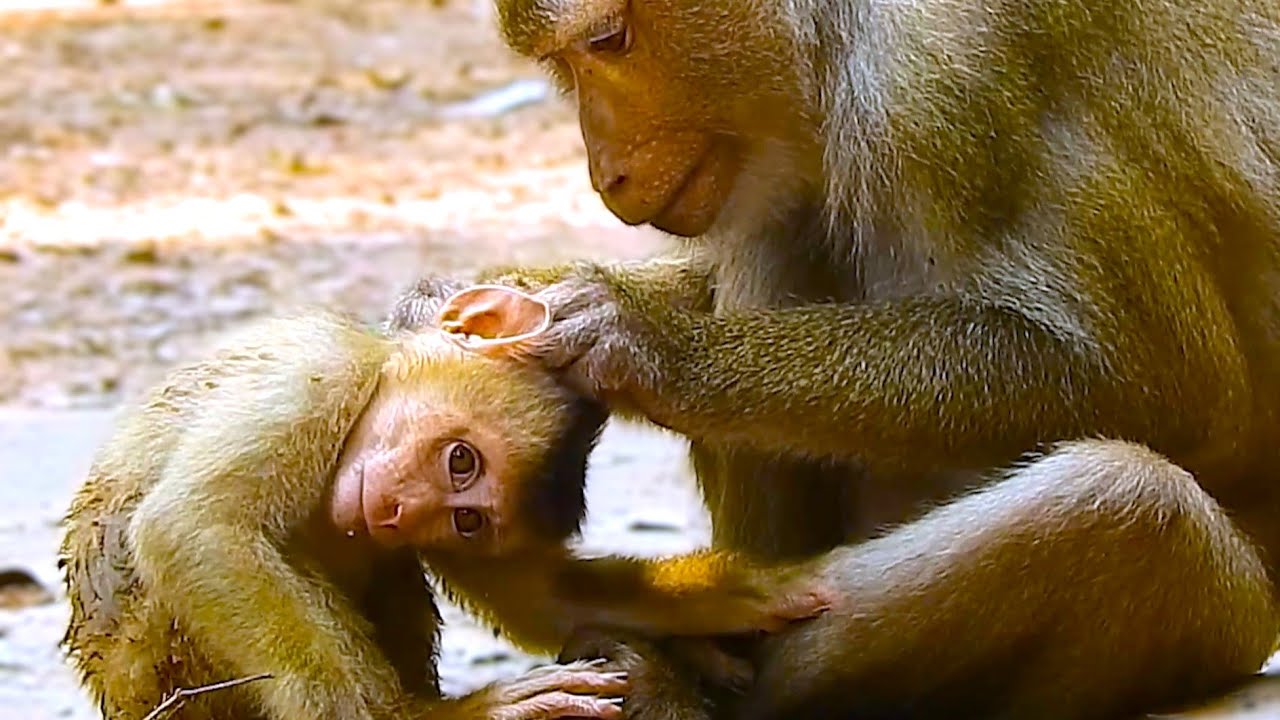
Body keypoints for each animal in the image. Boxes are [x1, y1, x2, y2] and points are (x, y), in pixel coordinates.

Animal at [58, 280, 830, 720]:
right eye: (462, 460)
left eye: (465, 517)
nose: (400, 510)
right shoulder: (319, 375)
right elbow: (197, 529)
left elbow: (545, 605)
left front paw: (732, 594)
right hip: (158, 670)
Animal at [383, 0, 1280, 718]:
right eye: (566, 60)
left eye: (609, 39)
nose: (608, 174)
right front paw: (444, 303)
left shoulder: (951, 75)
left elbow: (1166, 380)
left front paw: (640, 342)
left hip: (1220, 621)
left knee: (1127, 506)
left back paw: (694, 688)